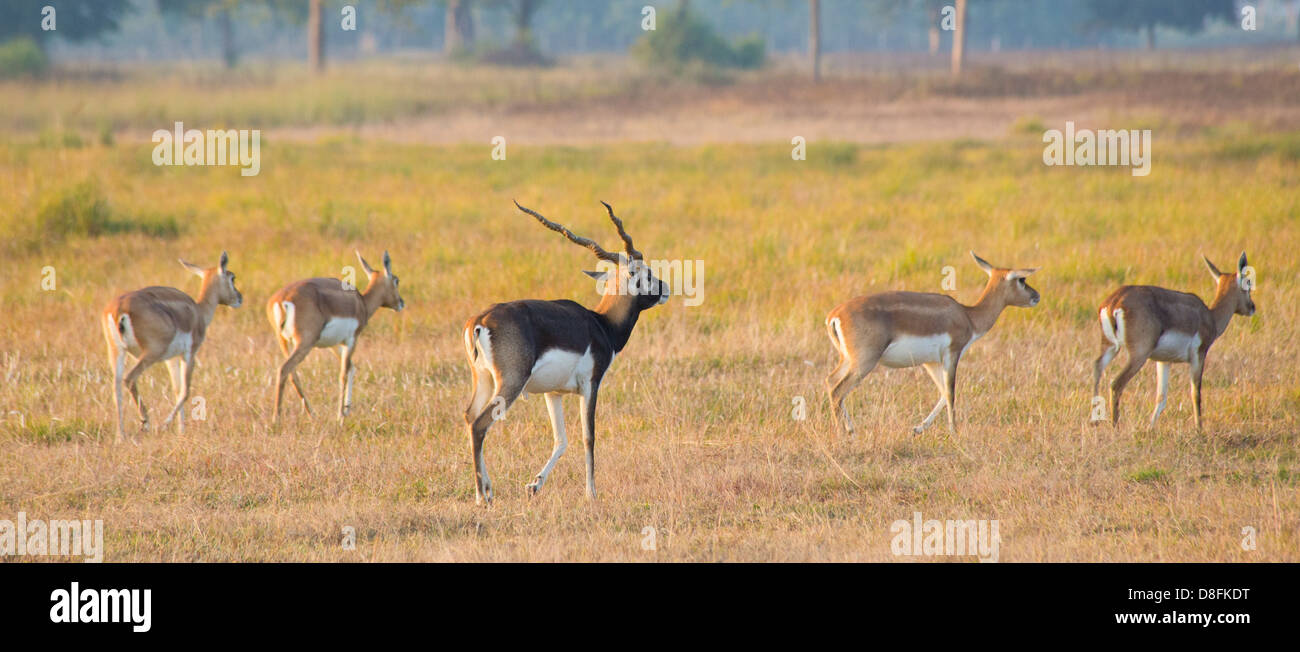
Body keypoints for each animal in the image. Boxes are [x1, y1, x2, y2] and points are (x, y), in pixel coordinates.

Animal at [101, 252, 243, 443]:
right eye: (232, 277)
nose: (240, 298)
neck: (198, 311)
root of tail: (119, 309)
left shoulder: (171, 358)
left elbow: (176, 389)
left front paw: (181, 430)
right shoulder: (189, 354)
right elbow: (185, 391)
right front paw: (165, 425)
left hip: (117, 352)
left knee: (116, 390)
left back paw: (120, 436)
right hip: (151, 353)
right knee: (129, 378)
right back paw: (146, 422)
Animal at [267, 251, 404, 424]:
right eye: (396, 280)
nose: (401, 303)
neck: (361, 302)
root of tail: (281, 300)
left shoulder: (334, 345)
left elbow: (352, 368)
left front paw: (346, 411)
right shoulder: (351, 340)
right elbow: (343, 374)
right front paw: (340, 415)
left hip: (284, 342)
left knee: (293, 374)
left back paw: (312, 414)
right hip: (304, 343)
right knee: (284, 369)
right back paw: (276, 419)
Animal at [461, 201, 669, 504]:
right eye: (648, 273)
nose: (666, 289)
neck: (602, 323)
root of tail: (480, 321)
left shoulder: (553, 392)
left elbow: (561, 439)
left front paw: (534, 485)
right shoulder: (591, 384)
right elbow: (588, 436)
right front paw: (591, 493)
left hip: (484, 380)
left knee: (469, 417)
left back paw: (487, 490)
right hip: (510, 383)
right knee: (480, 424)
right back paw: (481, 496)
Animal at [825, 252, 1040, 437]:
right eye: (1022, 279)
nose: (1036, 296)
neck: (968, 316)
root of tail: (835, 315)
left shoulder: (931, 362)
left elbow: (943, 393)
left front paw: (918, 428)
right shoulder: (952, 354)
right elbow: (951, 393)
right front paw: (954, 433)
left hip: (848, 359)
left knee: (830, 381)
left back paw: (851, 431)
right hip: (864, 362)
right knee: (837, 390)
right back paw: (842, 434)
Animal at [1092, 252, 1255, 430]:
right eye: (1248, 283)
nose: (1252, 307)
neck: (1210, 316)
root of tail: (1115, 302)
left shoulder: (1164, 361)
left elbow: (1161, 398)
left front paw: (1150, 429)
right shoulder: (1199, 355)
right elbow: (1195, 393)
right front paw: (1199, 429)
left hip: (1110, 347)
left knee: (1097, 367)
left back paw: (1095, 421)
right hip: (1138, 355)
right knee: (1115, 385)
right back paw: (1115, 427)